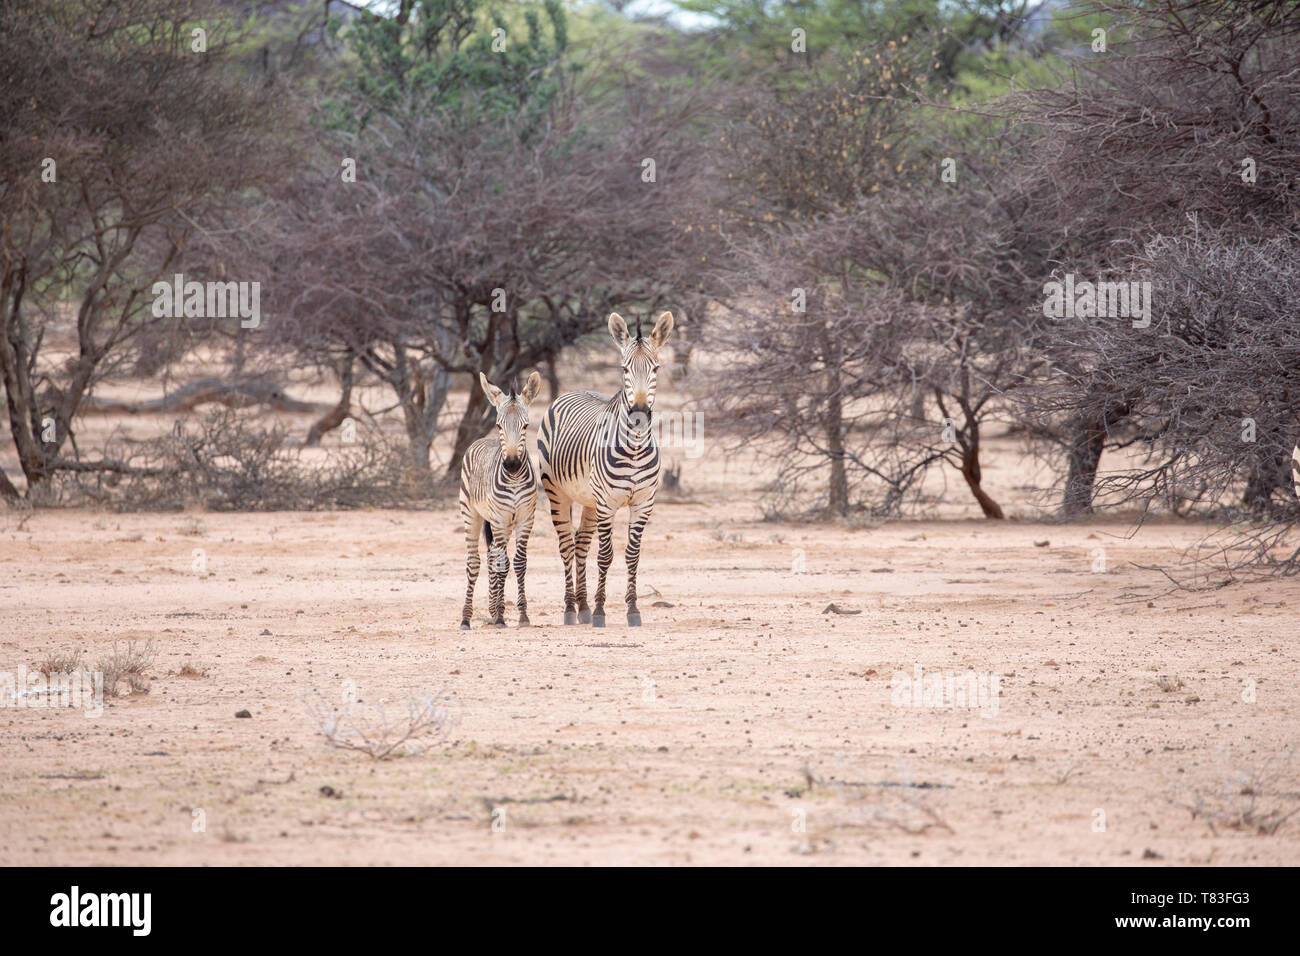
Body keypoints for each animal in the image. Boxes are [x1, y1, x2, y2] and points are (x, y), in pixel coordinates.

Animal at [459, 371, 542, 629]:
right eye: (499, 425)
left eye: (526, 425)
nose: (512, 463)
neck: (514, 479)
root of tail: (482, 440)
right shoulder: (500, 518)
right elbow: (503, 565)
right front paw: (500, 617)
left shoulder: (526, 518)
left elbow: (519, 563)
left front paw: (522, 615)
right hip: (473, 515)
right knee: (474, 562)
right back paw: (466, 618)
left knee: (491, 556)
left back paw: (492, 607)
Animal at [538, 311, 673, 627]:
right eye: (624, 368)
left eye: (656, 368)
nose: (639, 413)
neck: (634, 448)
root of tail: (571, 391)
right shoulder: (607, 503)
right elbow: (606, 555)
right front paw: (601, 611)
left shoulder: (643, 503)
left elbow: (632, 555)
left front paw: (633, 610)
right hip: (559, 493)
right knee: (566, 545)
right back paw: (570, 609)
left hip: (589, 500)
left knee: (580, 543)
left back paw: (583, 607)